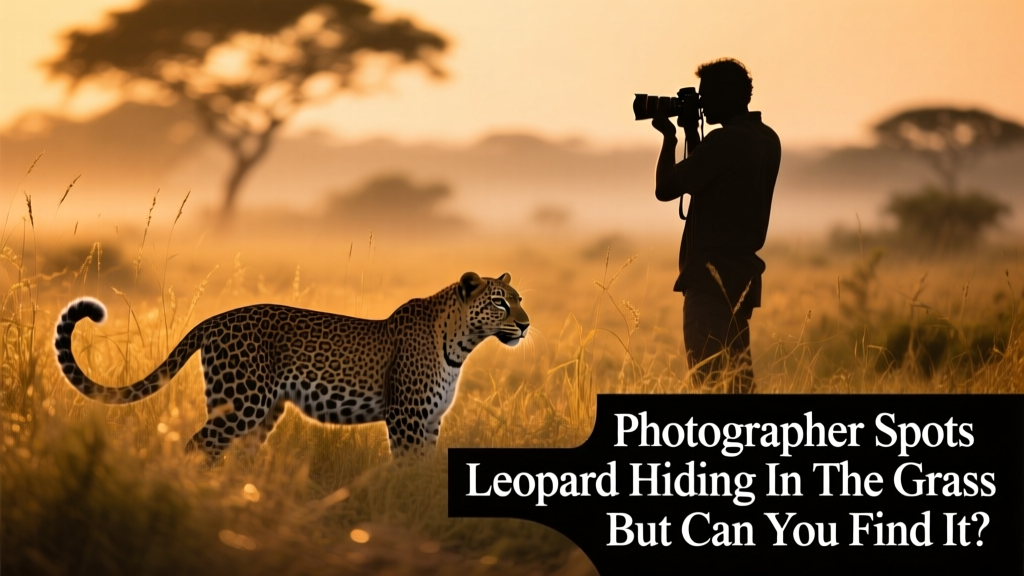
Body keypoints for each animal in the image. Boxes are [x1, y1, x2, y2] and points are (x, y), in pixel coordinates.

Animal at [53, 271, 529, 462]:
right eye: (500, 302)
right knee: (199, 445)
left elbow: (426, 469)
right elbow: (407, 468)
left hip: (262, 411)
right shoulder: (406, 417)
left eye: (519, 299)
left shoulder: (430, 421)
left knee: (234, 453)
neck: (460, 345)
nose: (525, 325)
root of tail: (214, 319)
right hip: (241, 402)